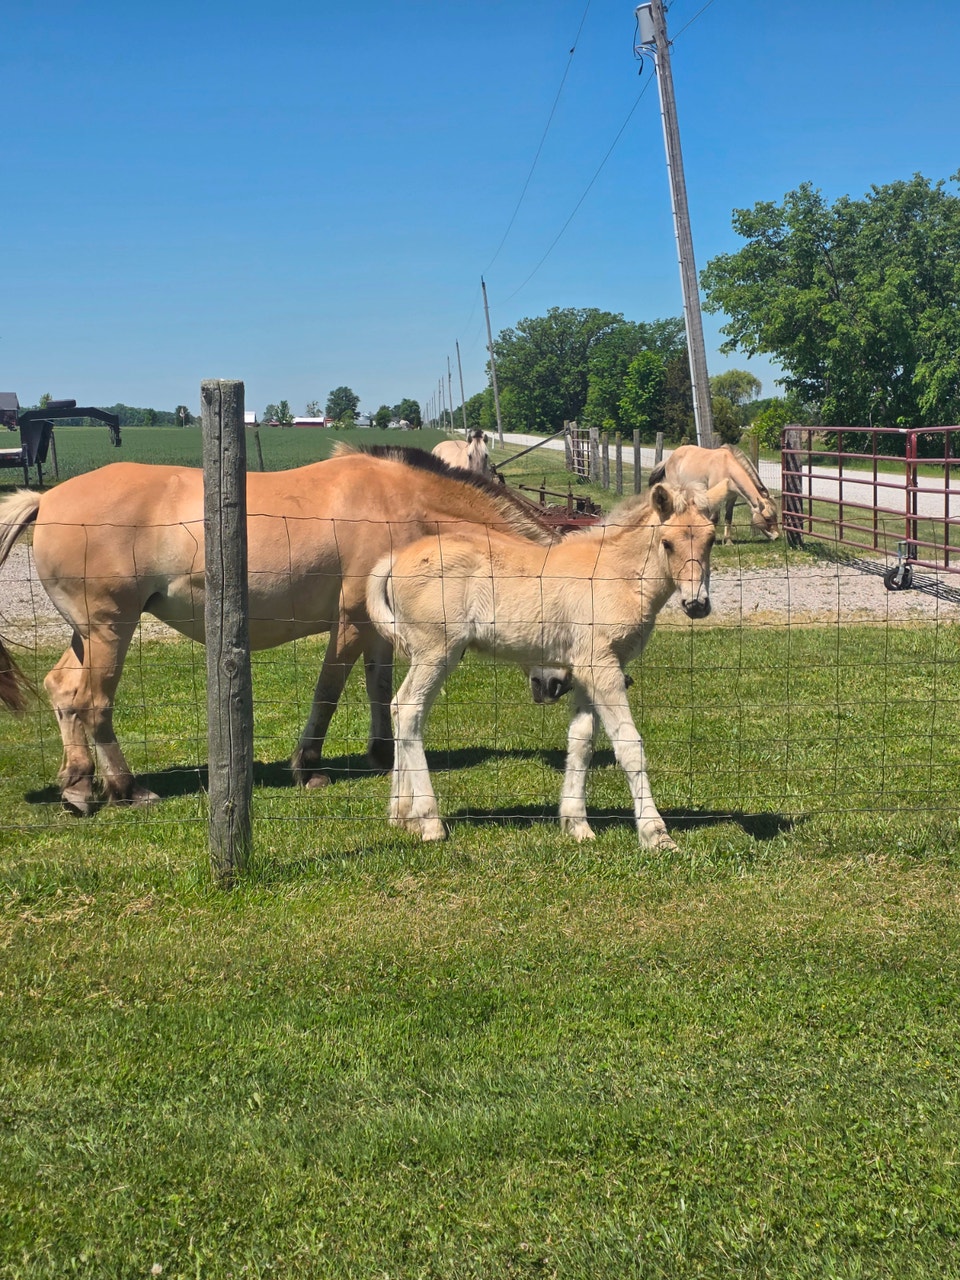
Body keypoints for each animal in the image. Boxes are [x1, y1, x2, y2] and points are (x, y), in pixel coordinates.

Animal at [0, 444, 560, 814]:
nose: (553, 685)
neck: (399, 505)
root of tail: (48, 499)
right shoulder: (351, 621)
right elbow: (329, 691)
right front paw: (308, 766)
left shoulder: (379, 628)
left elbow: (378, 687)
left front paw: (382, 753)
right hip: (111, 629)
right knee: (93, 702)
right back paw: (125, 788)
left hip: (89, 633)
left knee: (64, 691)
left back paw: (78, 784)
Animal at [366, 480, 726, 850]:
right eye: (667, 542)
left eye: (711, 539)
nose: (696, 604)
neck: (615, 574)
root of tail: (395, 558)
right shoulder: (602, 666)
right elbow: (629, 745)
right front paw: (656, 834)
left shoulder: (583, 671)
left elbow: (581, 741)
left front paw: (576, 824)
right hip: (437, 652)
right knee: (409, 708)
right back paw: (430, 822)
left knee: (406, 711)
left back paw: (403, 816)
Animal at [648, 444, 778, 544]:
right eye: (767, 518)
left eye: (776, 516)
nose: (776, 536)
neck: (727, 468)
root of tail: (669, 459)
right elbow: (714, 518)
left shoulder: (732, 498)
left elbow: (728, 518)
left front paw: (728, 541)